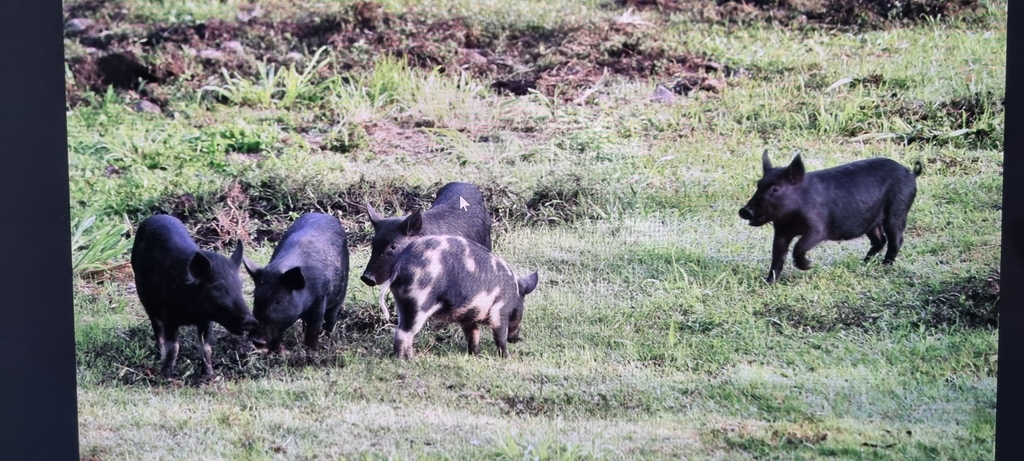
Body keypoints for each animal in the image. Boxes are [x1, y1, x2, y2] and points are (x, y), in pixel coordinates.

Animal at [130, 214, 258, 378]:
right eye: (218, 288)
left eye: (240, 285)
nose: (251, 320)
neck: (192, 313)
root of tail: (157, 216)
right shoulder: (169, 317)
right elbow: (174, 347)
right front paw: (165, 376)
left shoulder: (207, 321)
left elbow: (206, 348)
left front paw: (209, 375)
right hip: (148, 301)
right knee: (157, 328)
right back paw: (160, 355)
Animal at [242, 213, 350, 352]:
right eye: (256, 296)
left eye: (279, 301)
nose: (256, 340)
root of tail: (323, 214)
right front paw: (276, 353)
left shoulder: (320, 300)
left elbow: (314, 328)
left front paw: (311, 352)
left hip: (341, 292)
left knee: (331, 318)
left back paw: (328, 340)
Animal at [381, 235, 539, 359]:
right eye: (518, 311)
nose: (517, 339)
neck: (515, 290)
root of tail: (399, 267)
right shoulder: (500, 309)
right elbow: (499, 335)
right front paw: (507, 357)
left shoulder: (468, 316)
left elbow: (473, 334)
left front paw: (475, 354)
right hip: (419, 301)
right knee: (403, 333)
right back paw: (406, 360)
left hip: (401, 303)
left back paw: (409, 357)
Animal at [738, 150, 924, 284]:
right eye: (758, 185)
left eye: (776, 189)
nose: (744, 211)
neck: (791, 217)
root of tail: (911, 173)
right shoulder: (781, 231)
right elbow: (777, 255)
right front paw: (768, 283)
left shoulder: (818, 228)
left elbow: (799, 245)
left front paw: (809, 265)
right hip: (871, 222)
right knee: (879, 240)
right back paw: (864, 263)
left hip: (898, 210)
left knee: (896, 239)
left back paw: (885, 267)